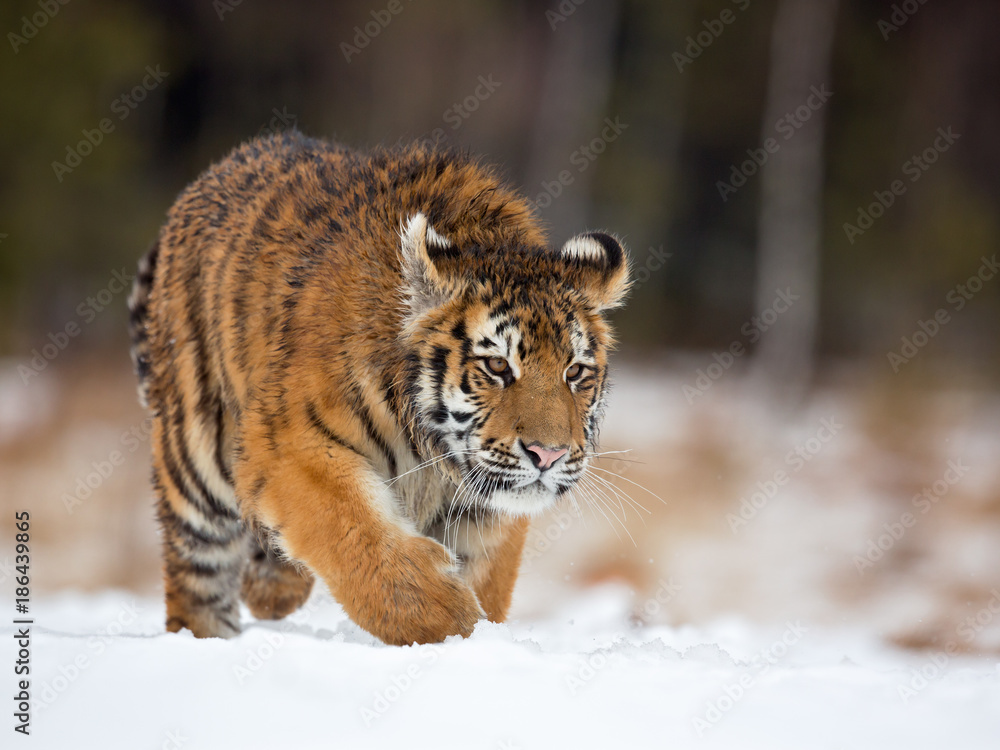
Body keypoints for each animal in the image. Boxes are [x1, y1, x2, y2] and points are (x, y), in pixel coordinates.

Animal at [128, 131, 630, 646]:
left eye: (575, 372)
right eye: (496, 366)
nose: (548, 454)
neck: (433, 456)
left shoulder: (480, 508)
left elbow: (486, 577)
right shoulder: (290, 447)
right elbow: (361, 542)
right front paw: (453, 617)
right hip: (198, 463)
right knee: (196, 585)